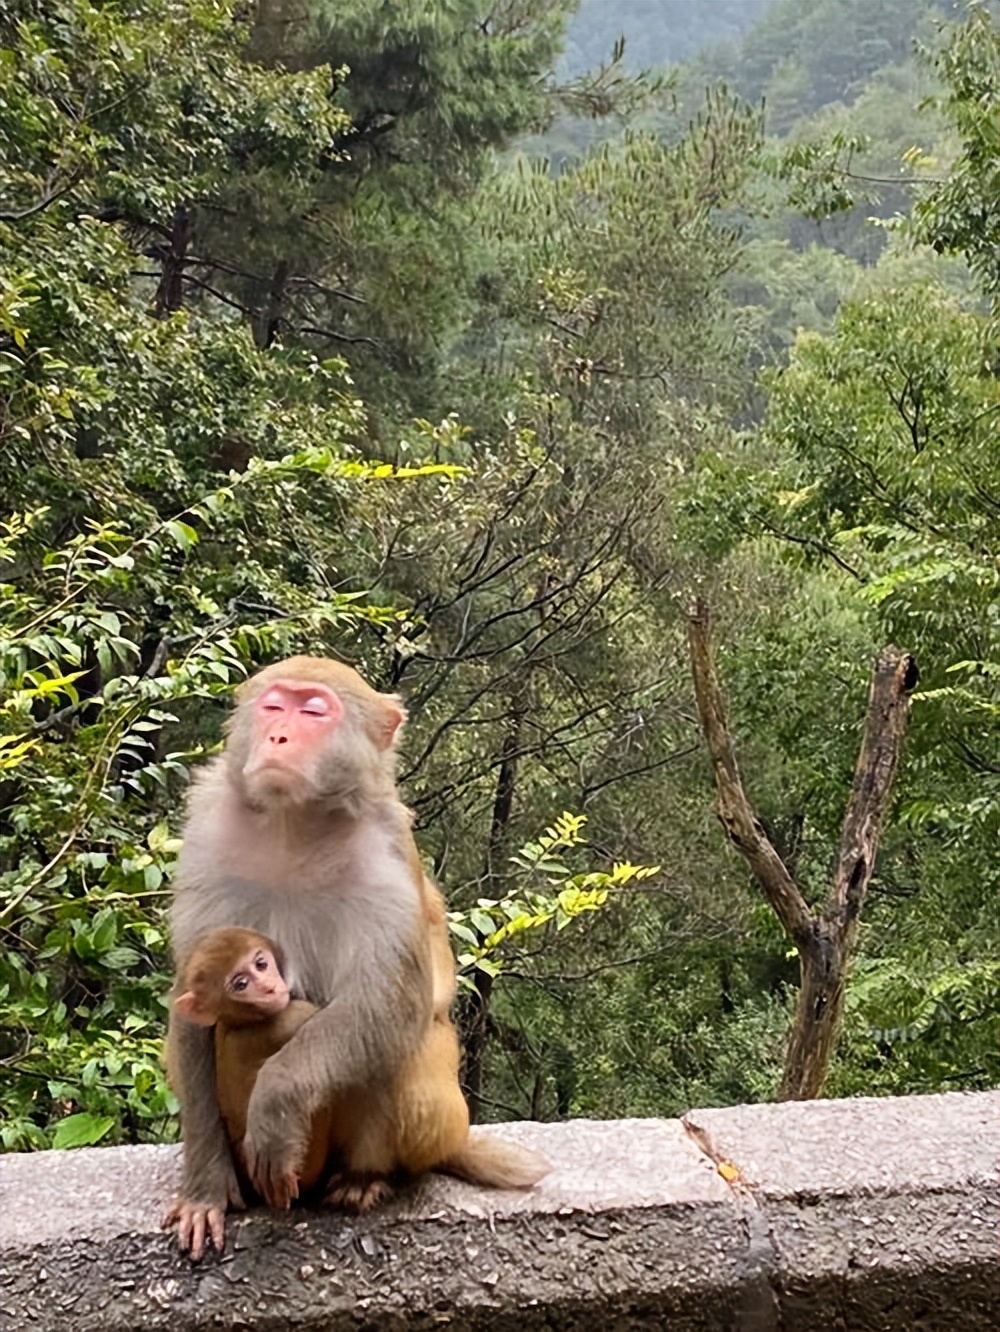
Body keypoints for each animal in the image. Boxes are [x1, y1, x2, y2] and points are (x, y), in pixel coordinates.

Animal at [164, 657, 549, 1259]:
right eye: (274, 706)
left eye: (313, 712)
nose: (278, 736)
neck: (292, 823)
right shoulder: (206, 834)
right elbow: (193, 1000)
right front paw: (205, 1189)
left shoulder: (384, 851)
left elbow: (391, 1002)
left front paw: (276, 1102)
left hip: (431, 1117)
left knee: (397, 1051)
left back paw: (365, 1177)